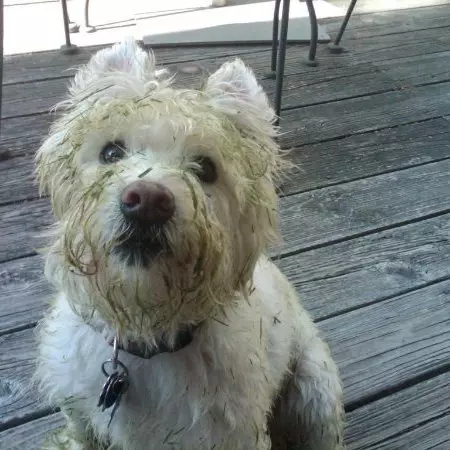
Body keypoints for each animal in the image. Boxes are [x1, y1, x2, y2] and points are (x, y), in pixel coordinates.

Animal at [34, 39, 344, 450]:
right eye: (111, 152)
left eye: (206, 168)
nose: (147, 202)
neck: (147, 333)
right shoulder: (79, 409)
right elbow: (83, 433)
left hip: (315, 389)